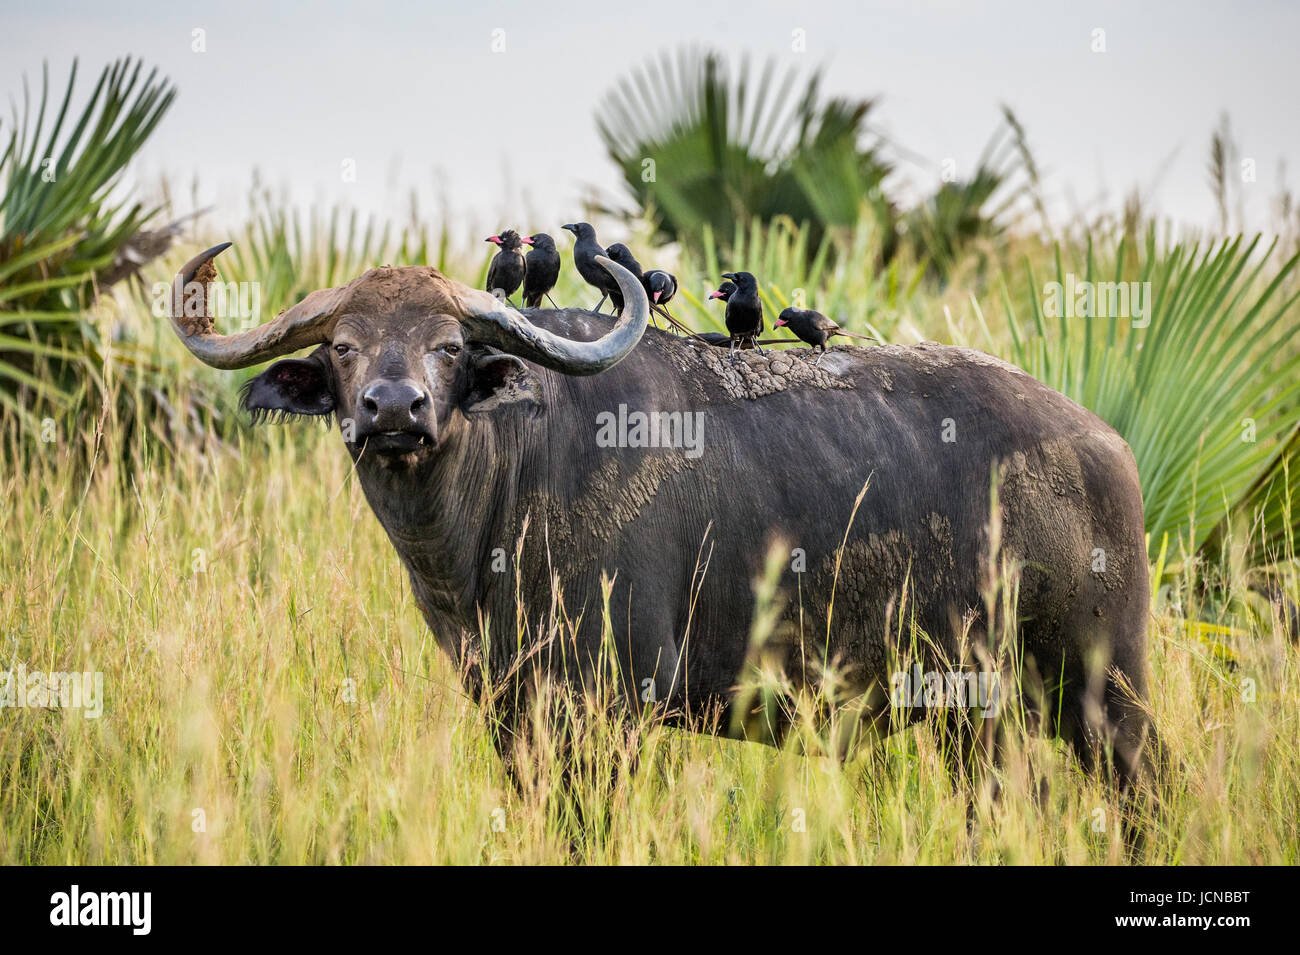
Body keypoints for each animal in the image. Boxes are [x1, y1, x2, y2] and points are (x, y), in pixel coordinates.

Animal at [166, 243, 1161, 796]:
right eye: (342, 347)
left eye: (448, 346)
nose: (394, 409)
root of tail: (1106, 447)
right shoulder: (511, 716)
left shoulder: (610, 709)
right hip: (980, 713)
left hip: (1103, 691)